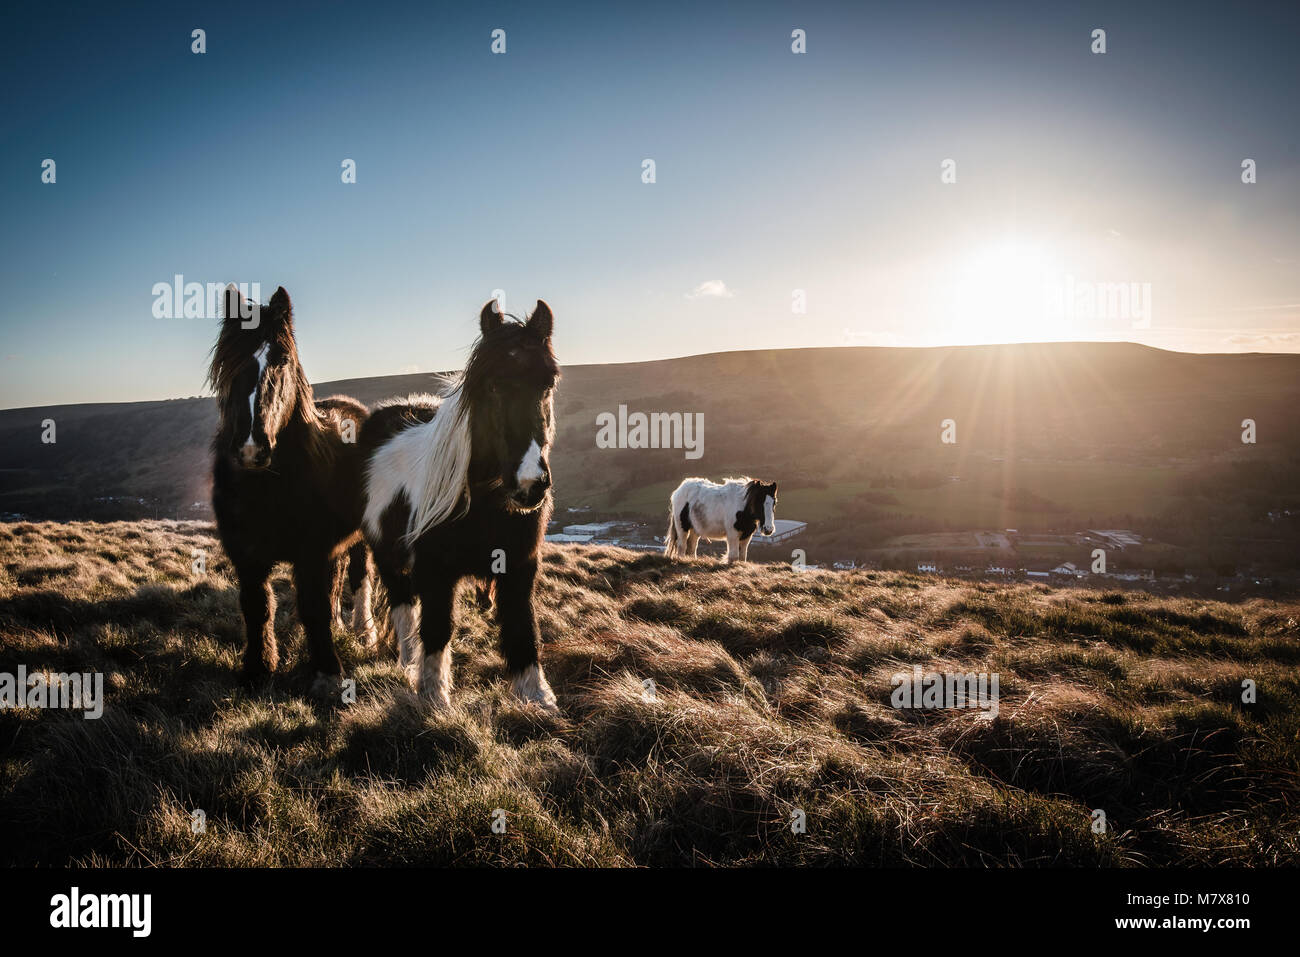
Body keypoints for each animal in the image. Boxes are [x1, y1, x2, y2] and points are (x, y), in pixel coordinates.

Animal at [208, 284, 377, 693]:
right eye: (231, 364)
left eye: (281, 362)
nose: (251, 448)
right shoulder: (247, 555)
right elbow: (257, 607)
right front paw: (257, 668)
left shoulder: (312, 552)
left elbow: (315, 607)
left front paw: (326, 671)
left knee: (359, 575)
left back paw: (364, 633)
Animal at [360, 299, 559, 711]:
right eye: (493, 386)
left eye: (547, 383)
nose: (530, 484)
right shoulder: (436, 572)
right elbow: (437, 628)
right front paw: (433, 696)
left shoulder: (520, 568)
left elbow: (523, 628)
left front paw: (538, 697)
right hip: (386, 555)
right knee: (404, 608)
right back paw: (408, 663)